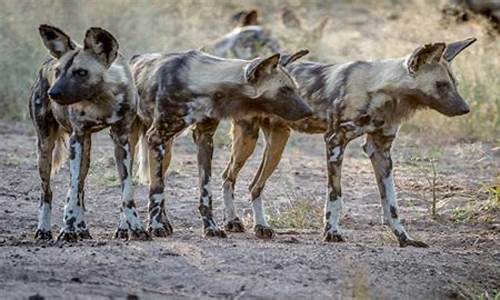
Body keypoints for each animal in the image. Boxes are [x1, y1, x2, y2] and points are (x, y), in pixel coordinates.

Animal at [31, 25, 147, 241]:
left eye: (81, 72)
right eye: (58, 72)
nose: (53, 93)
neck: (101, 98)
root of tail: (47, 61)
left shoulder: (122, 140)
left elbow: (126, 190)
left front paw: (135, 227)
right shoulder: (76, 138)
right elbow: (71, 189)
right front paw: (68, 229)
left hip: (86, 151)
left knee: (81, 187)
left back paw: (82, 228)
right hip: (45, 148)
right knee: (47, 191)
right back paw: (44, 230)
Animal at [129, 48, 310, 237]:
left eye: (295, 89)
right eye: (284, 90)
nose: (309, 112)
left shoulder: (204, 139)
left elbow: (206, 192)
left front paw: (211, 227)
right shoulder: (156, 137)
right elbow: (156, 191)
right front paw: (155, 226)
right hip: (143, 143)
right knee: (144, 184)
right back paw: (143, 225)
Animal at [223, 37, 476, 246]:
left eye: (455, 84)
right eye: (441, 85)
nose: (466, 109)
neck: (383, 93)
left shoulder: (380, 150)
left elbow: (391, 203)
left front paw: (403, 237)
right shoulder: (335, 141)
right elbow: (335, 195)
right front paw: (332, 232)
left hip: (278, 143)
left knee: (255, 185)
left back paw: (261, 227)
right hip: (248, 140)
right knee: (228, 177)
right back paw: (232, 222)